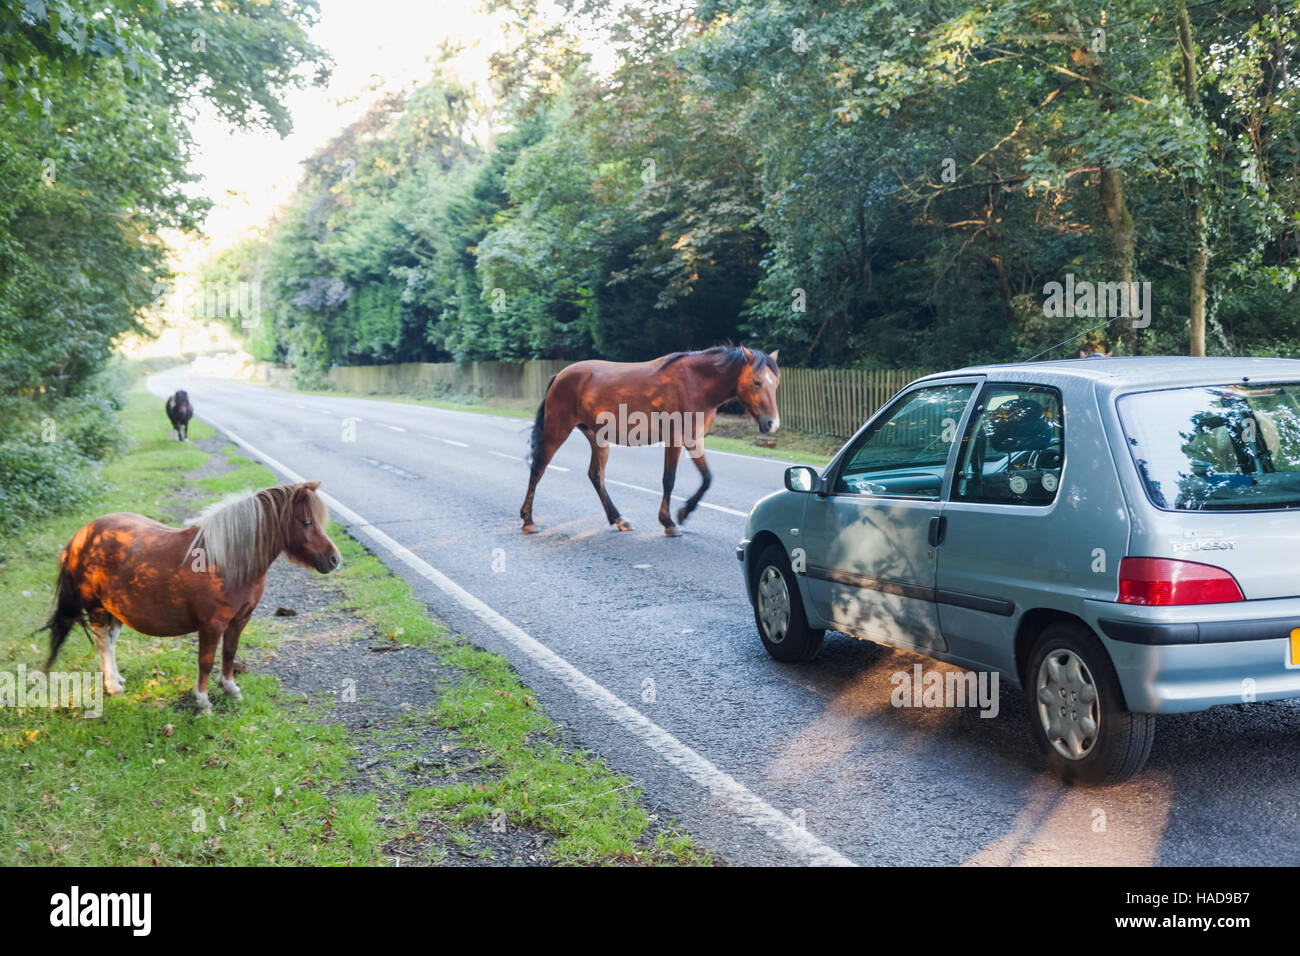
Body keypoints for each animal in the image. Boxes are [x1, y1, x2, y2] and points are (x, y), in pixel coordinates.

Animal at [43, 481, 341, 711]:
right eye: (306, 522)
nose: (334, 559)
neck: (225, 561)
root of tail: (81, 536)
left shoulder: (239, 620)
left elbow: (229, 653)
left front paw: (230, 688)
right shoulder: (211, 625)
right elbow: (205, 661)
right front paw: (202, 700)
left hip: (114, 609)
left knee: (110, 642)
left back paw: (116, 679)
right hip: (96, 608)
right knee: (103, 644)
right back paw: (113, 686)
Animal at [520, 345, 781, 536]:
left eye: (775, 383)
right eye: (756, 381)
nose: (772, 424)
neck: (694, 382)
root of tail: (560, 375)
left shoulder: (694, 440)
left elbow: (707, 478)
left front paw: (684, 512)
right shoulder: (675, 440)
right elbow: (669, 480)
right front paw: (669, 522)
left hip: (598, 439)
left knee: (595, 475)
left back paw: (619, 519)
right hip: (558, 430)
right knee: (538, 468)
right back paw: (528, 520)